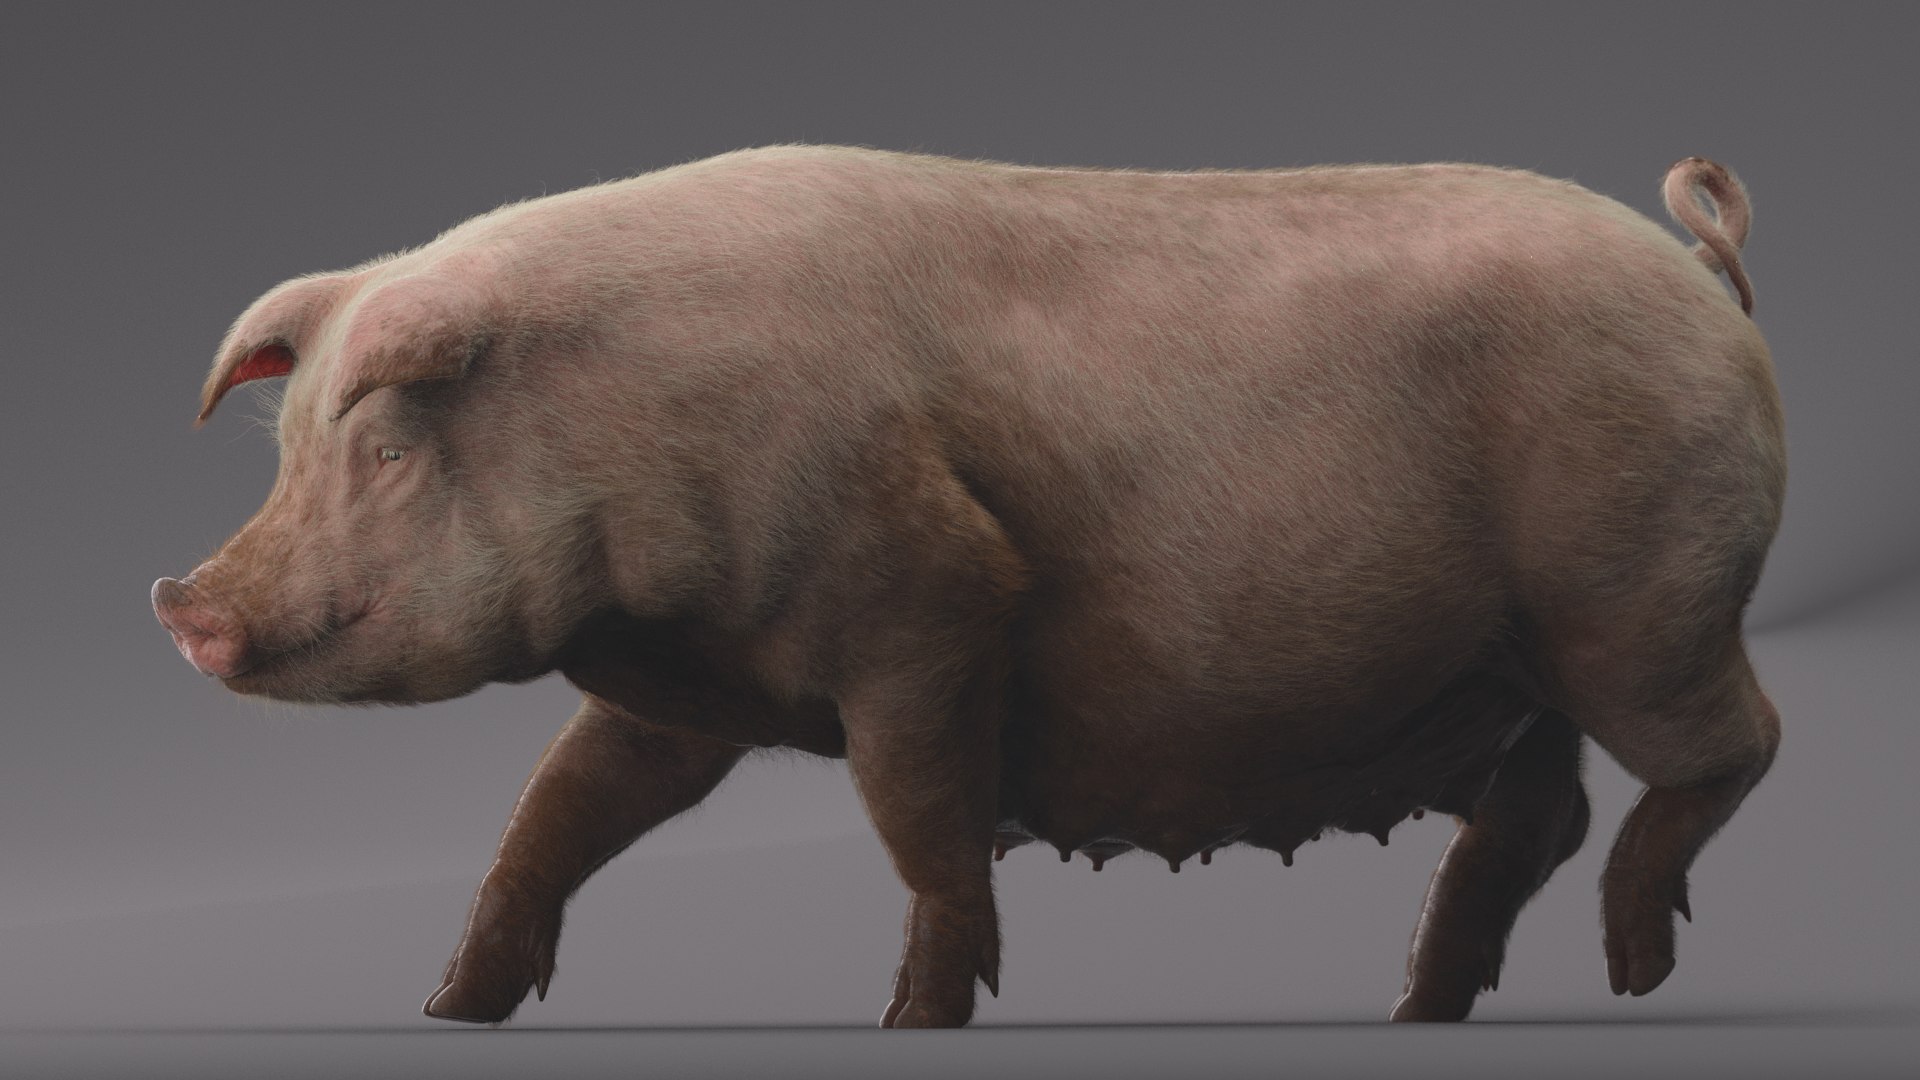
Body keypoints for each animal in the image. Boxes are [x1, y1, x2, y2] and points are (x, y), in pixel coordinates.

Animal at [154, 146, 1784, 1026]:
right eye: (286, 449)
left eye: (383, 446)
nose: (185, 608)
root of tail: (1702, 276)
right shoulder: (688, 686)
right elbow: (559, 812)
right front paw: (449, 1008)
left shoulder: (932, 597)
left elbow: (927, 824)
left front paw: (911, 1019)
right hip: (1511, 667)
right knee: (1537, 814)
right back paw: (1420, 1005)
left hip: (1642, 601)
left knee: (1732, 750)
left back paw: (1633, 973)